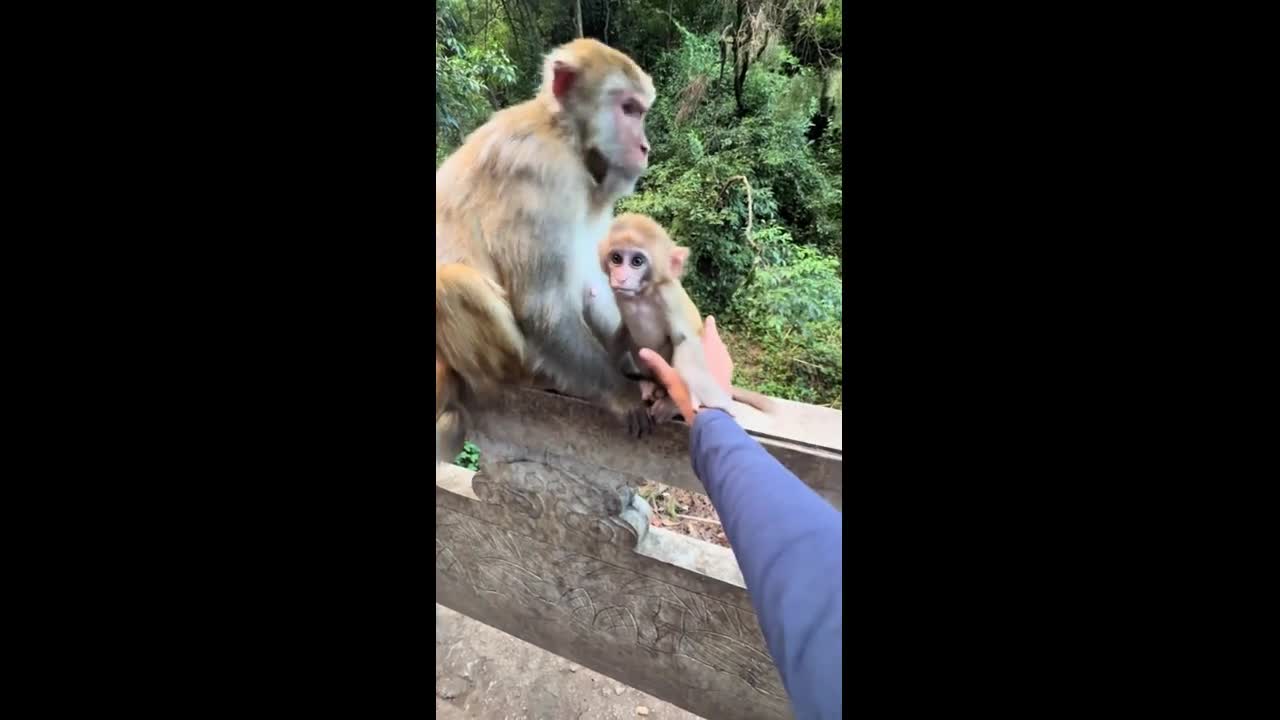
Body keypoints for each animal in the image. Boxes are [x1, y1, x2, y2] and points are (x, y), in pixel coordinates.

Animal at [435, 38, 659, 464]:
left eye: (642, 111)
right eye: (628, 109)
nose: (644, 147)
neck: (565, 135)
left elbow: (594, 284)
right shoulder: (541, 172)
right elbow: (545, 307)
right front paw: (622, 393)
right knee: (451, 282)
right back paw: (528, 376)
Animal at [599, 213, 775, 423]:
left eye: (637, 261)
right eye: (616, 258)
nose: (621, 278)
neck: (643, 295)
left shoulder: (669, 298)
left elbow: (684, 341)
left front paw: (720, 402)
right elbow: (622, 332)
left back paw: (670, 402)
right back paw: (648, 384)